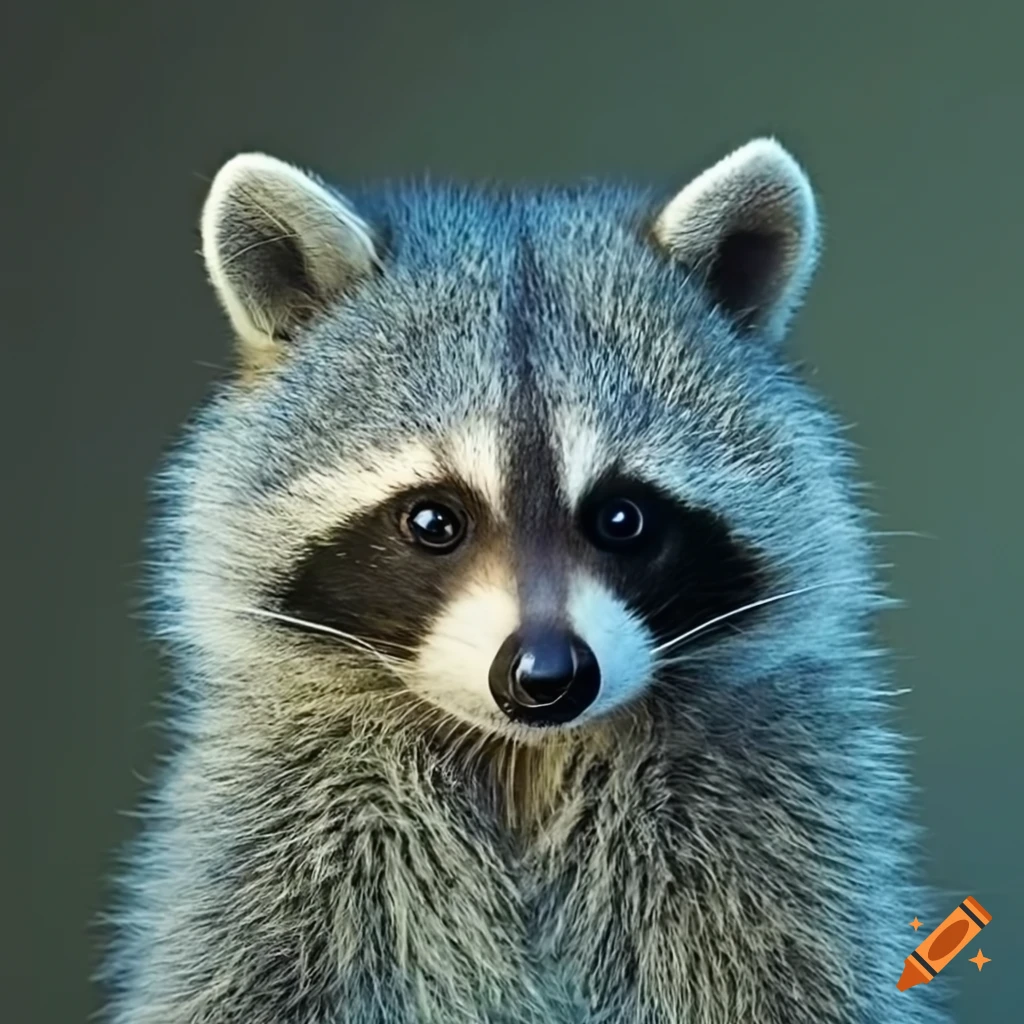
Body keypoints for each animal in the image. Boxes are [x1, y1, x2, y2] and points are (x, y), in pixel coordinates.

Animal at [102, 138, 948, 1024]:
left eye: (622, 518)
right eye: (433, 520)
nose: (547, 677)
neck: (526, 761)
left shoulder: (771, 832)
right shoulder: (278, 841)